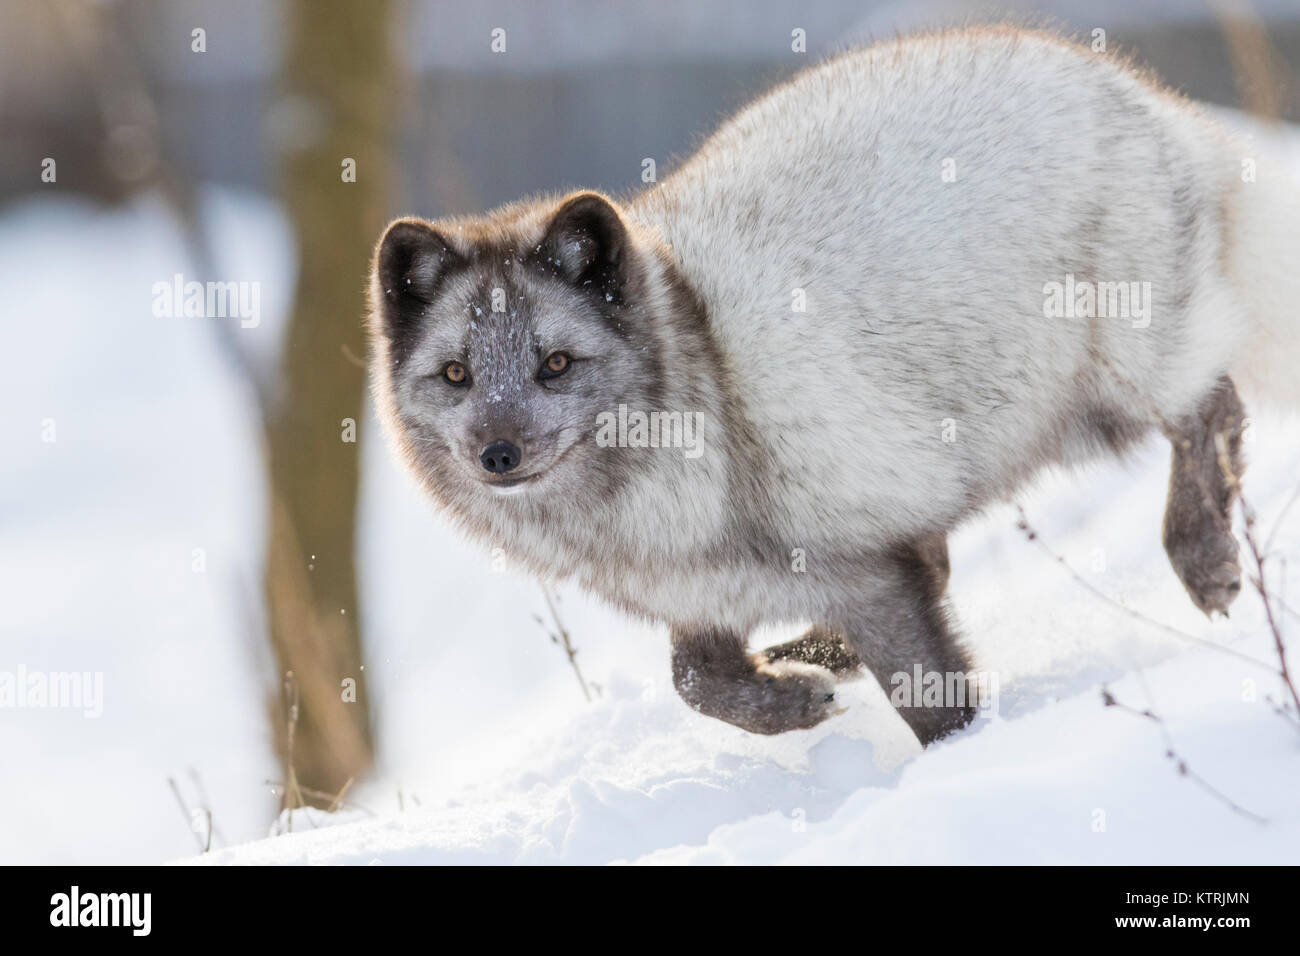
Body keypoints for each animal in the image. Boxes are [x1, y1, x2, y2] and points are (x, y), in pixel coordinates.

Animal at [368, 27, 1300, 745]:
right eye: (456, 374)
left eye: (554, 364)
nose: (497, 454)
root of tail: (1144, 94)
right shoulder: (709, 597)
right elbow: (694, 681)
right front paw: (792, 700)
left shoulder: (864, 570)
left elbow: (933, 697)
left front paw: (956, 766)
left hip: (1114, 377)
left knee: (1209, 408)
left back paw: (1205, 556)